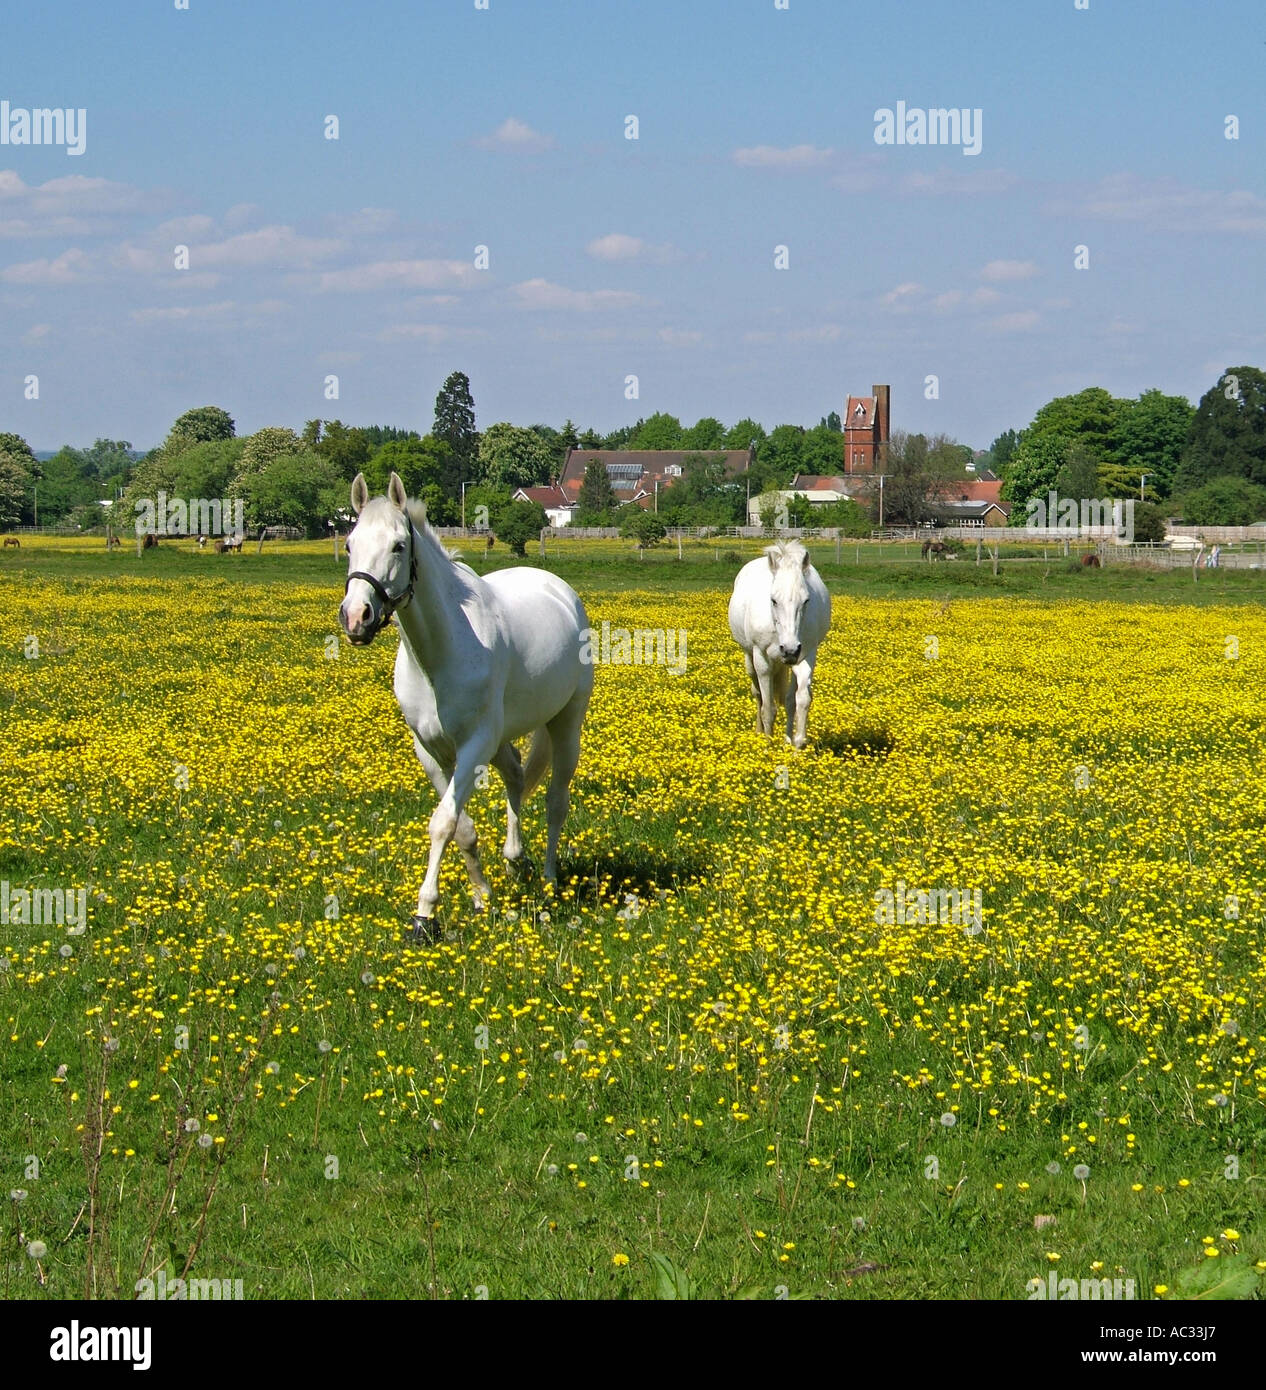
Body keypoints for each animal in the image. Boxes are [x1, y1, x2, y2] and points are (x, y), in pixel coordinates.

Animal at [339, 471, 593, 939]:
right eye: (349, 544)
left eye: (398, 545)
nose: (356, 617)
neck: (441, 654)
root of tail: (560, 590)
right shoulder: (431, 751)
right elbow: (462, 829)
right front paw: (481, 896)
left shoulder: (473, 746)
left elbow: (442, 823)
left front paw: (424, 915)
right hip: (502, 739)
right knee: (516, 778)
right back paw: (514, 860)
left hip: (565, 725)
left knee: (555, 803)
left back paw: (550, 881)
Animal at [728, 540, 831, 749]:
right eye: (773, 600)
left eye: (806, 600)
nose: (789, 650)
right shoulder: (762, 658)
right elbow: (768, 708)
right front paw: (767, 746)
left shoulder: (806, 655)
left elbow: (801, 700)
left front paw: (797, 745)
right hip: (750, 658)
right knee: (758, 694)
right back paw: (760, 732)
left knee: (789, 700)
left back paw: (786, 740)